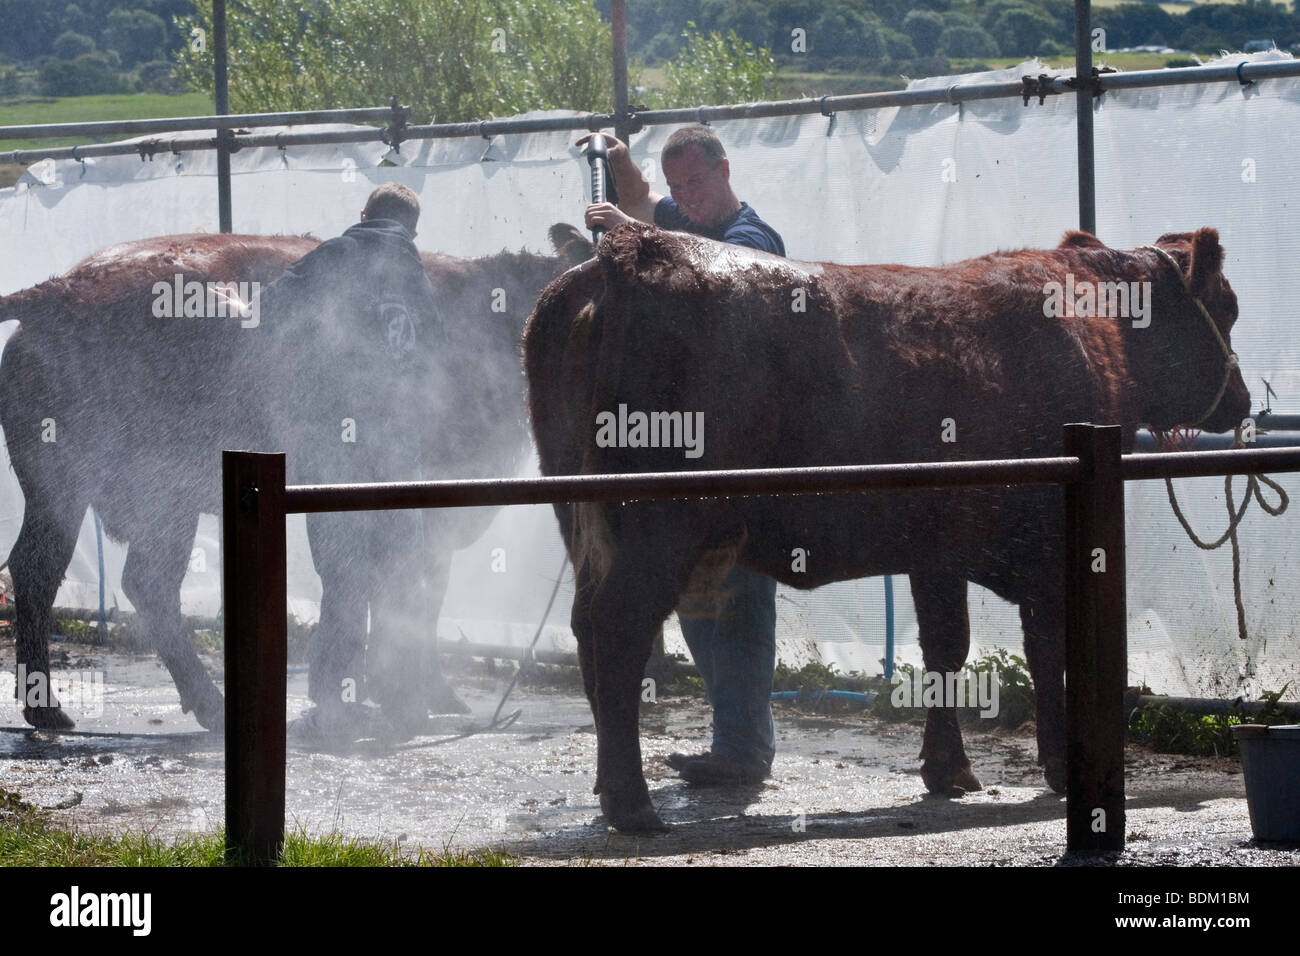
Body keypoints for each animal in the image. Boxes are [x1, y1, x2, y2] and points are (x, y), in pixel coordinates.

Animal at [2, 224, 591, 733]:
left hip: (61, 494)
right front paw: (426, 692)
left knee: (39, 570)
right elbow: (416, 594)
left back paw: (48, 708)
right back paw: (209, 705)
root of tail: (59, 291)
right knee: (144, 583)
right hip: (157, 503)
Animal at [523, 222, 1251, 831]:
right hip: (656, 525)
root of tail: (627, 252)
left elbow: (945, 649)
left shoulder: (937, 550)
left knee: (587, 629)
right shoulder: (1049, 547)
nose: (1243, 400)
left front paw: (948, 770)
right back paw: (633, 804)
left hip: (584, 523)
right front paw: (1057, 767)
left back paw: (612, 789)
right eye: (1230, 305)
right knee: (617, 630)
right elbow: (1049, 655)